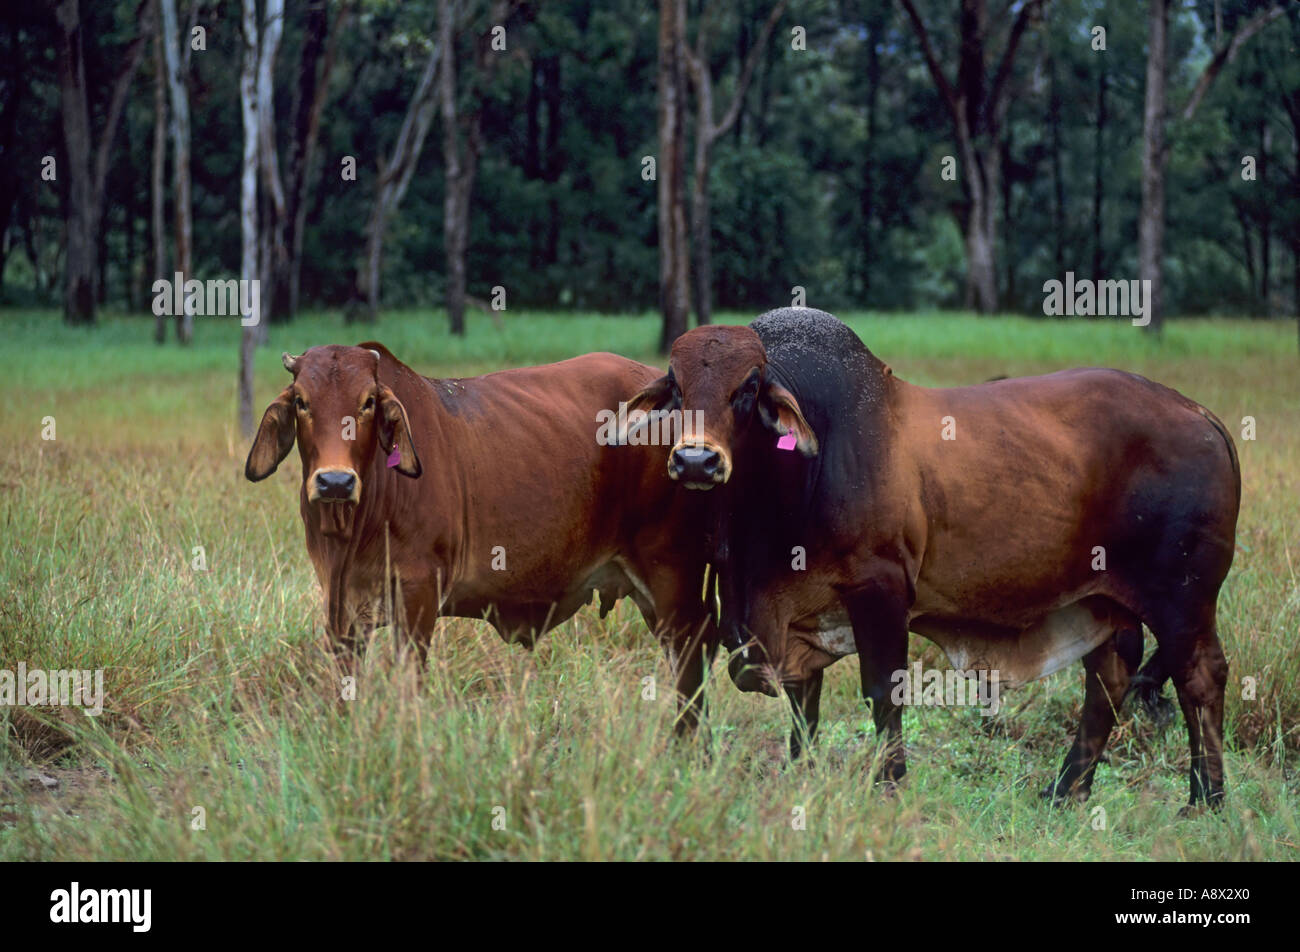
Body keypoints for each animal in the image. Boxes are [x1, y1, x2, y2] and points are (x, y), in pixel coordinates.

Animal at [245, 342, 718, 734]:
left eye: (367, 403)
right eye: (302, 401)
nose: (335, 482)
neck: (352, 525)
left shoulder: (418, 594)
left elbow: (410, 681)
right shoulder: (341, 607)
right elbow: (346, 686)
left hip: (672, 573)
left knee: (691, 658)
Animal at [623, 308, 1240, 809]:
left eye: (748, 386)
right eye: (676, 386)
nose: (697, 461)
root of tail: (1200, 413)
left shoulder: (881, 589)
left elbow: (882, 691)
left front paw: (888, 784)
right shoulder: (791, 617)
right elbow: (804, 701)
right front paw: (800, 775)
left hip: (1182, 596)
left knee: (1200, 677)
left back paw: (1204, 800)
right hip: (1105, 599)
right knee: (1108, 678)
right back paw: (1066, 790)